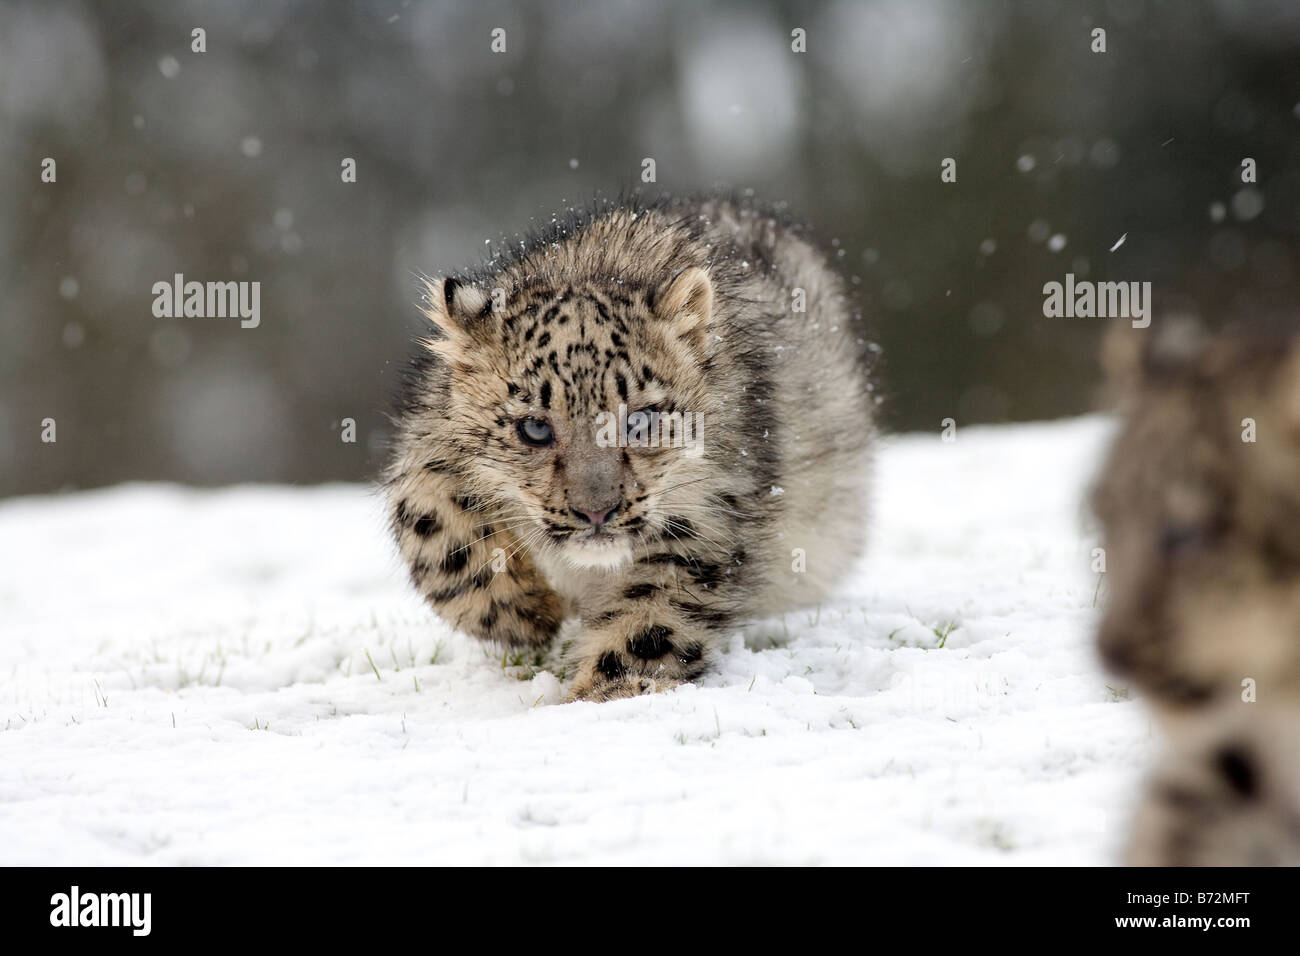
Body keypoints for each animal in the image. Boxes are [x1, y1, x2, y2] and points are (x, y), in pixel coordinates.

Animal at [384, 194, 875, 701]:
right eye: (534, 428)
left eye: (640, 419)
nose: (596, 511)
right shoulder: (430, 448)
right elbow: (429, 522)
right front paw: (527, 612)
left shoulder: (706, 514)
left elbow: (652, 618)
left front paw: (604, 694)